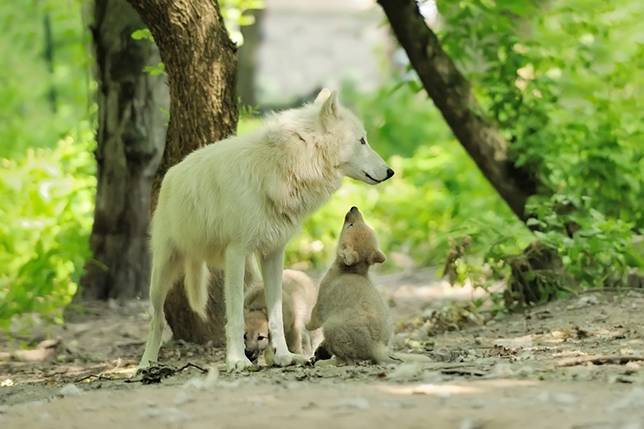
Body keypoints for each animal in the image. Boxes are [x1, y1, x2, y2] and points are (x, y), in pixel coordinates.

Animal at [139, 89, 393, 371]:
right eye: (362, 140)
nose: (390, 171)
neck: (284, 166)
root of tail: (171, 172)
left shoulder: (273, 253)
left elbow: (275, 315)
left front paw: (283, 356)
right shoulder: (236, 252)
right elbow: (235, 317)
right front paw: (237, 360)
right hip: (163, 272)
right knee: (157, 320)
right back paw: (145, 364)